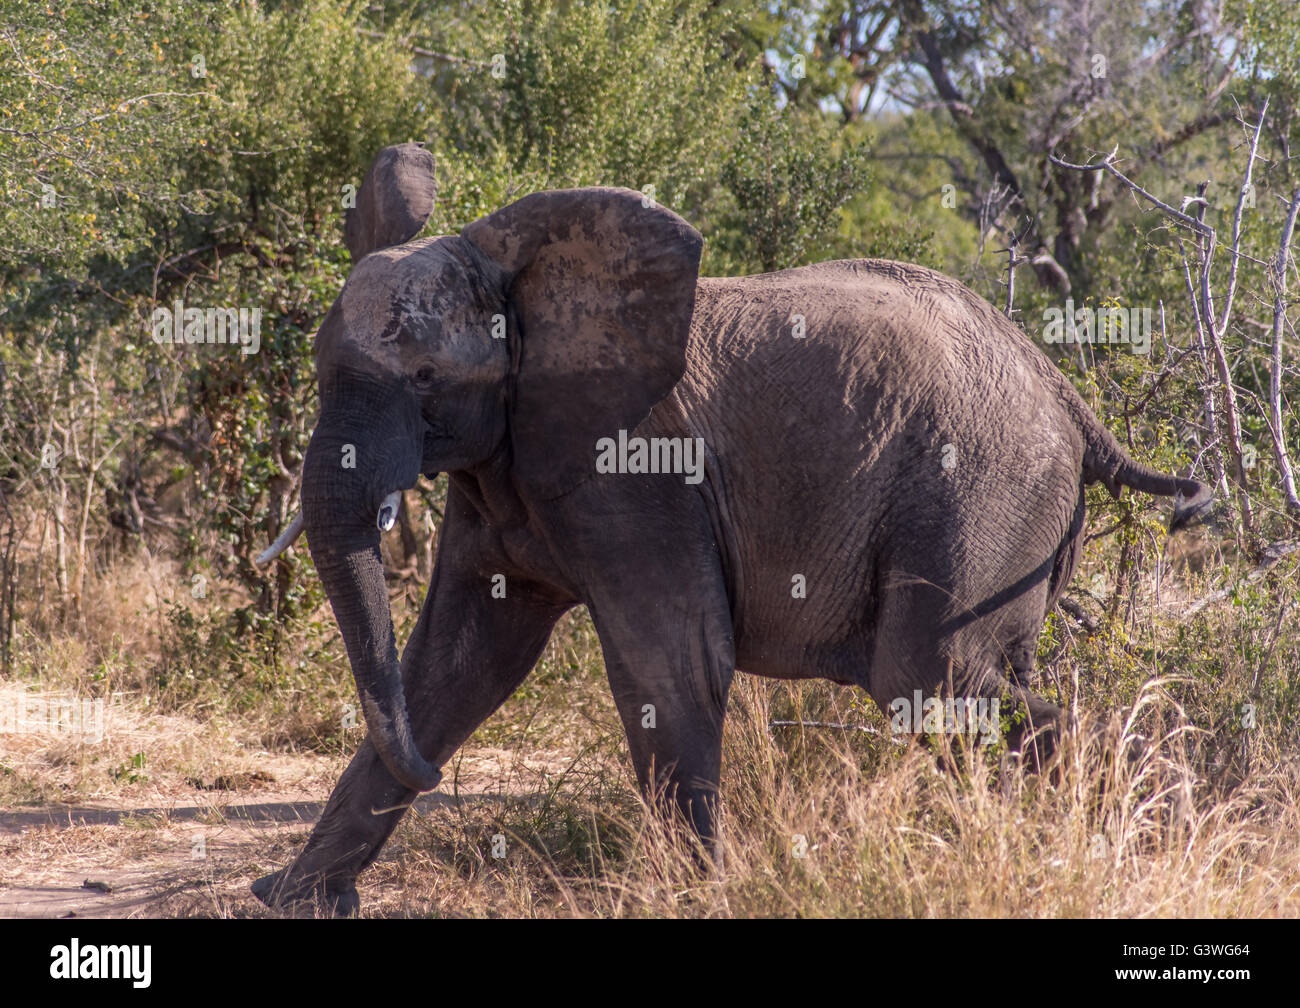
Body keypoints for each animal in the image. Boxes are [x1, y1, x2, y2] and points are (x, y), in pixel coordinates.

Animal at [250, 143, 1211, 915]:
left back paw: (1156, 802)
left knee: (928, 677)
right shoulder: (508, 463)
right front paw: (292, 898)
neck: (528, 285)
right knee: (967, 684)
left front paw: (695, 897)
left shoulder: (634, 472)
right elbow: (456, 665)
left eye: (424, 379)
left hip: (984, 486)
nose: (435, 778)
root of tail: (1071, 398)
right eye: (323, 365)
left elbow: (671, 663)